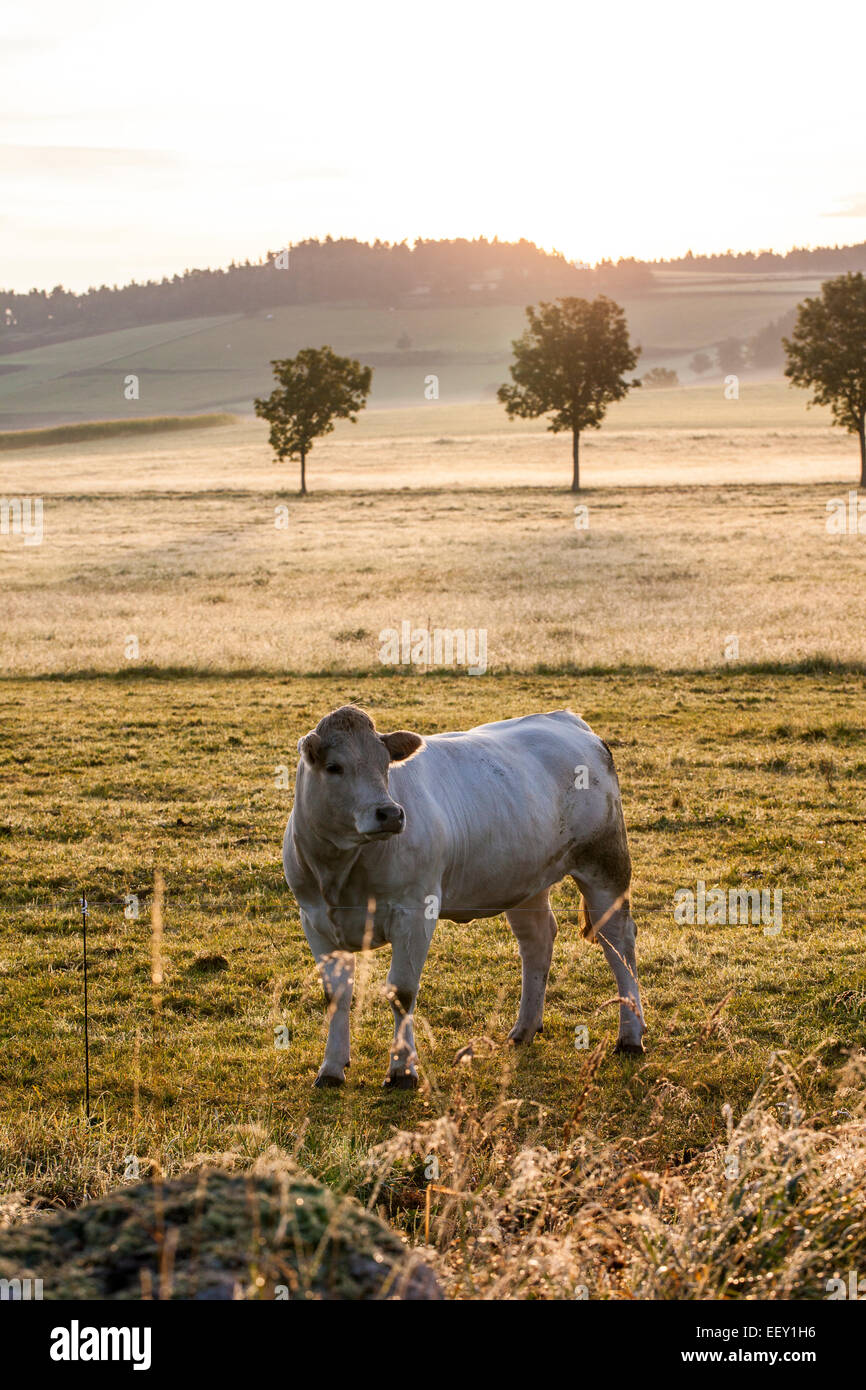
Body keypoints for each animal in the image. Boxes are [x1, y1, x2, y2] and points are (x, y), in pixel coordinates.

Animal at [283, 704, 645, 1088]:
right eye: (334, 767)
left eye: (385, 764)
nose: (390, 813)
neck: (341, 870)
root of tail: (567, 719)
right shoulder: (315, 920)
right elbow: (335, 995)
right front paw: (331, 1068)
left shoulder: (415, 912)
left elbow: (402, 991)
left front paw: (402, 1070)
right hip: (524, 879)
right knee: (537, 941)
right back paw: (524, 1029)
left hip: (605, 863)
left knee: (619, 943)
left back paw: (631, 1036)